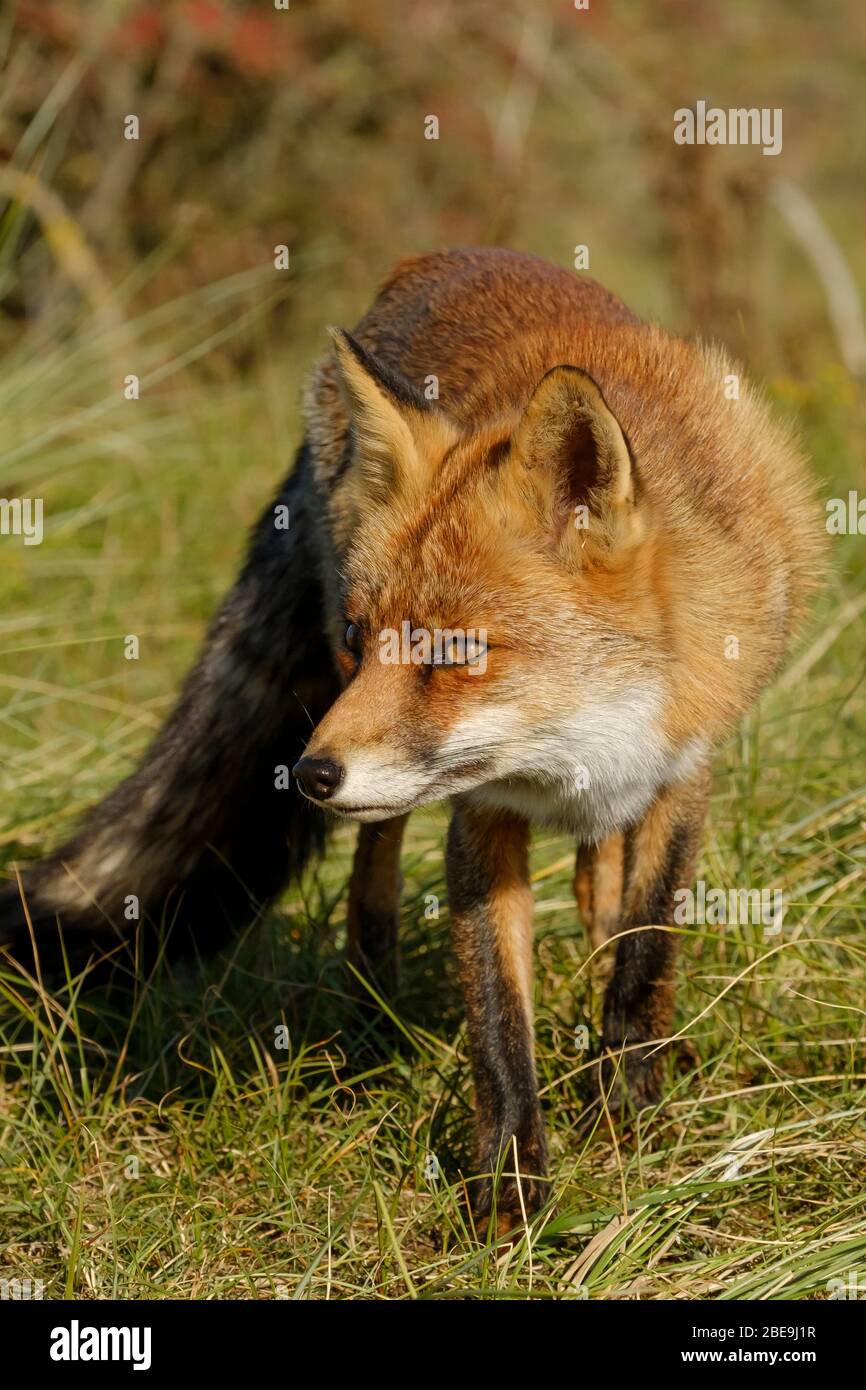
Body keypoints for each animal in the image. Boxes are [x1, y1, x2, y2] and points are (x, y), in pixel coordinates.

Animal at [0, 248, 822, 1236]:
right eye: (364, 637)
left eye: (455, 653)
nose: (308, 774)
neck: (576, 742)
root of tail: (445, 258)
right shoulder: (480, 812)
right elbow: (498, 1024)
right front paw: (509, 1201)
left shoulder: (680, 775)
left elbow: (643, 952)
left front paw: (626, 1118)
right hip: (375, 786)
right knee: (373, 877)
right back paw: (371, 1026)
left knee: (598, 883)